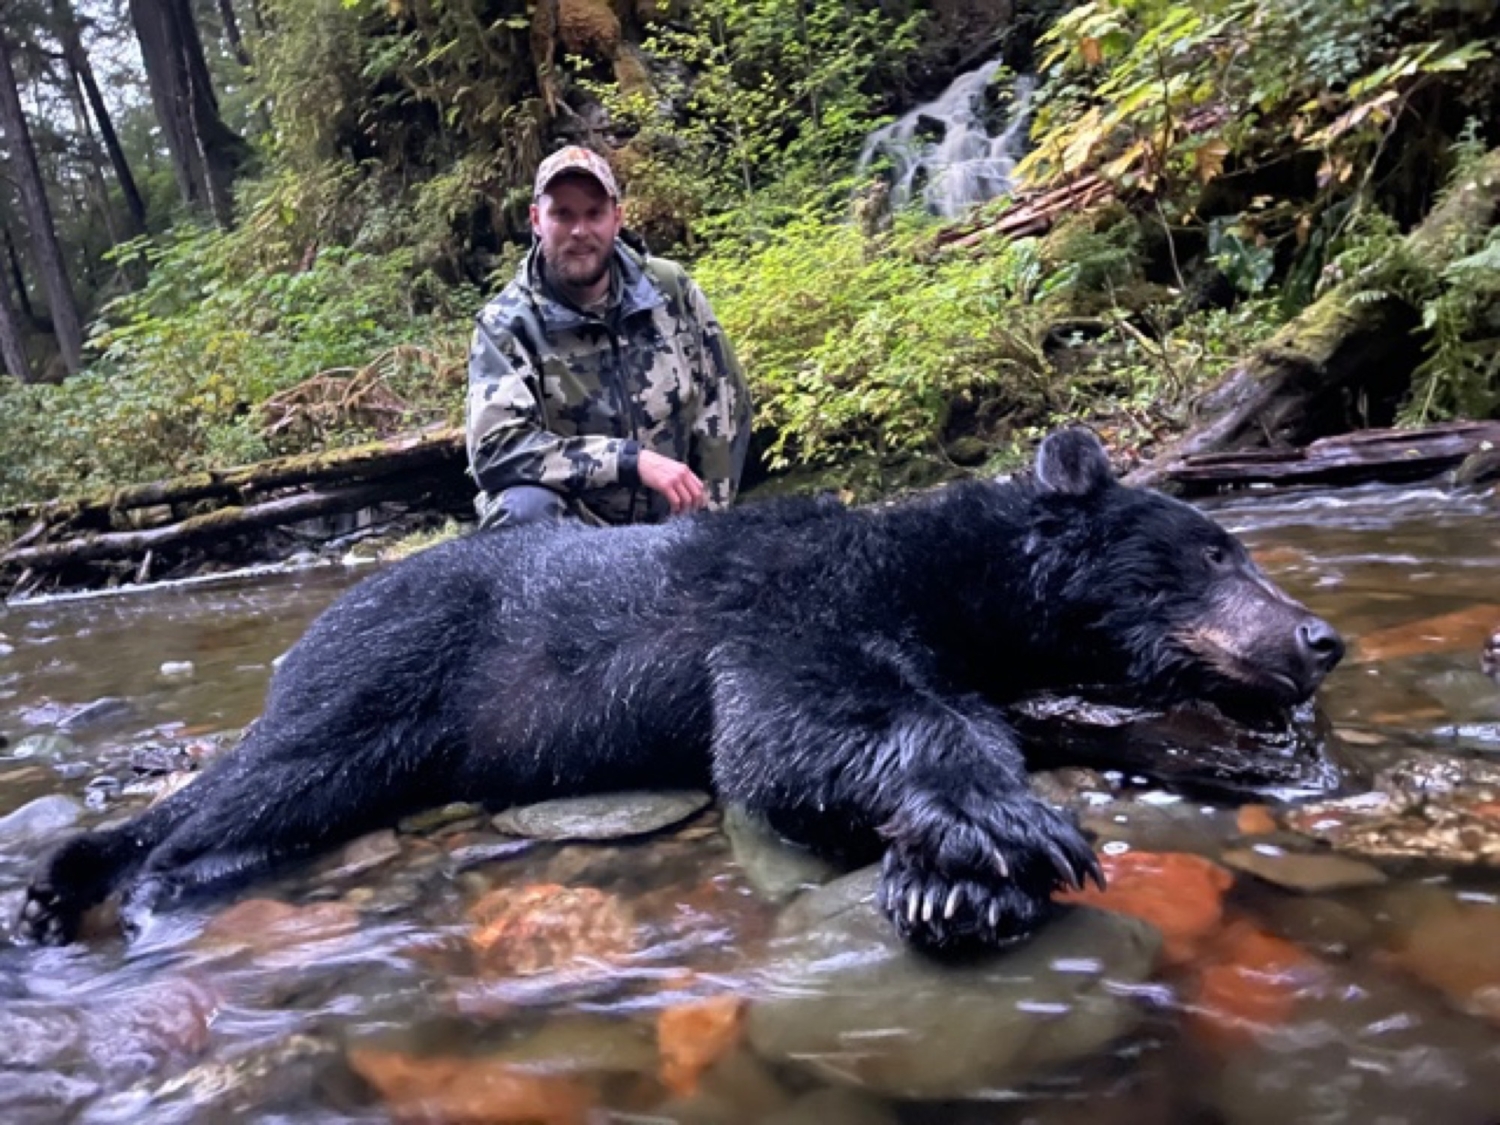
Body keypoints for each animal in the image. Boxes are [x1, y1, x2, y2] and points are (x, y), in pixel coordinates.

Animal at [16, 429, 1344, 950]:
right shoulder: (798, 602)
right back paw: (132, 881)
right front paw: (1002, 830)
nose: (1321, 637)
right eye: (1215, 551)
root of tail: (315, 618)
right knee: (264, 782)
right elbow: (801, 720)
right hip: (389, 672)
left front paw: (952, 886)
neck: (943, 577)